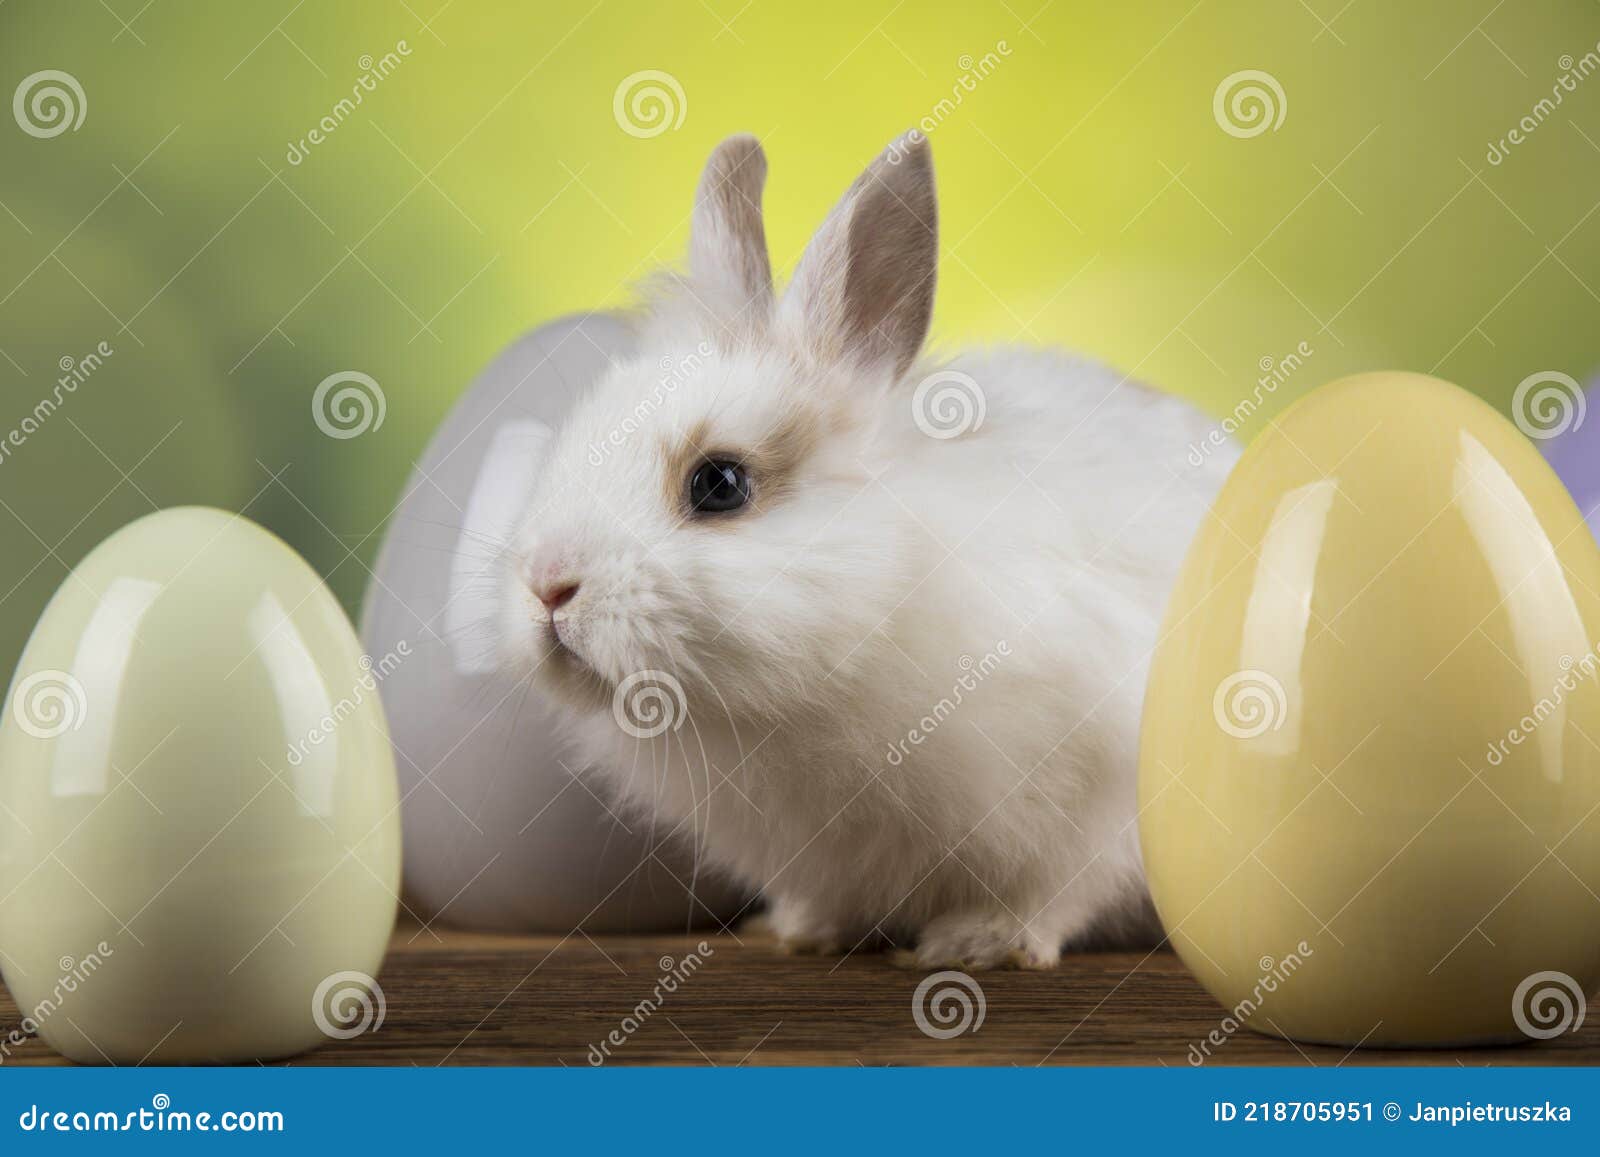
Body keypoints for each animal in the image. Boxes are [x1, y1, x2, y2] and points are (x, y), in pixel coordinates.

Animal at [497, 130, 1240, 969]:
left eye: (719, 483)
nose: (547, 584)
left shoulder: (1095, 795)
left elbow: (1054, 893)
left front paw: (977, 943)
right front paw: (806, 931)